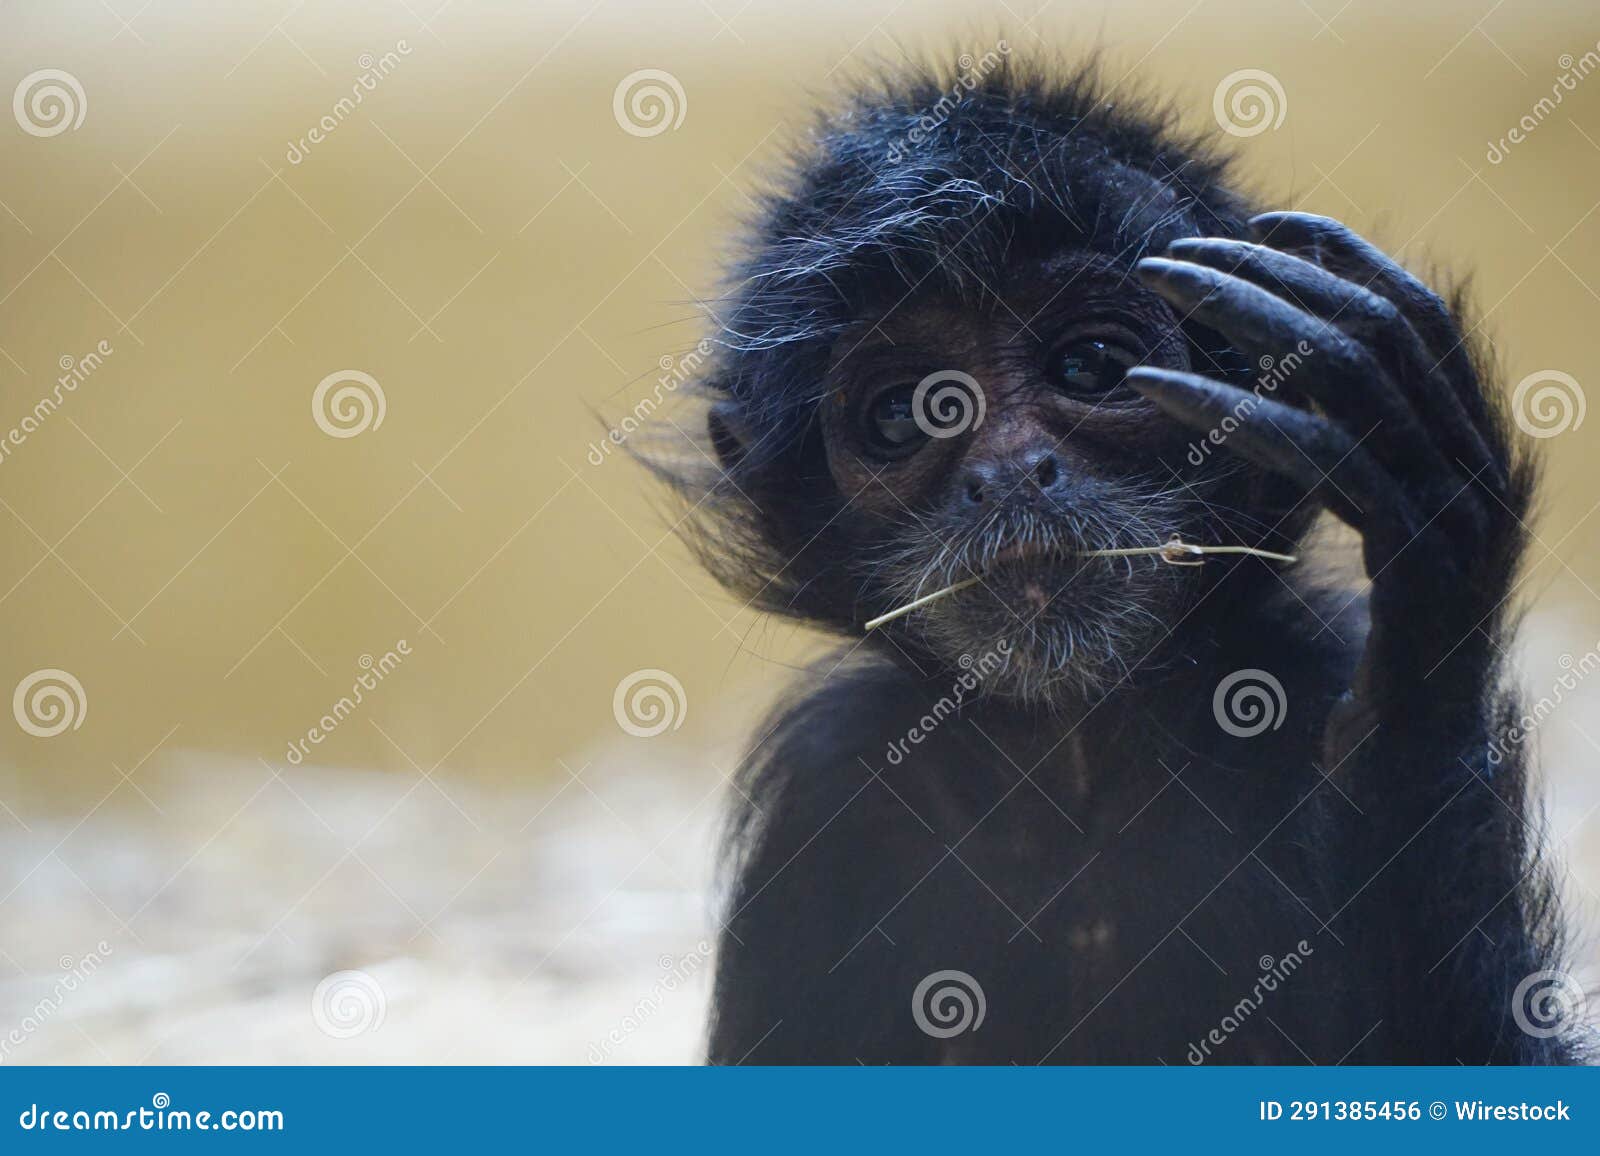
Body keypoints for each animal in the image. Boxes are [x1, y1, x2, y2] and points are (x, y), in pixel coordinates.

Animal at [652, 54, 1590, 1064]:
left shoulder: (1317, 660)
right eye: (905, 414)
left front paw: (1423, 644)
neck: (1081, 774)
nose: (1009, 473)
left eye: (1092, 366)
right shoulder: (827, 786)